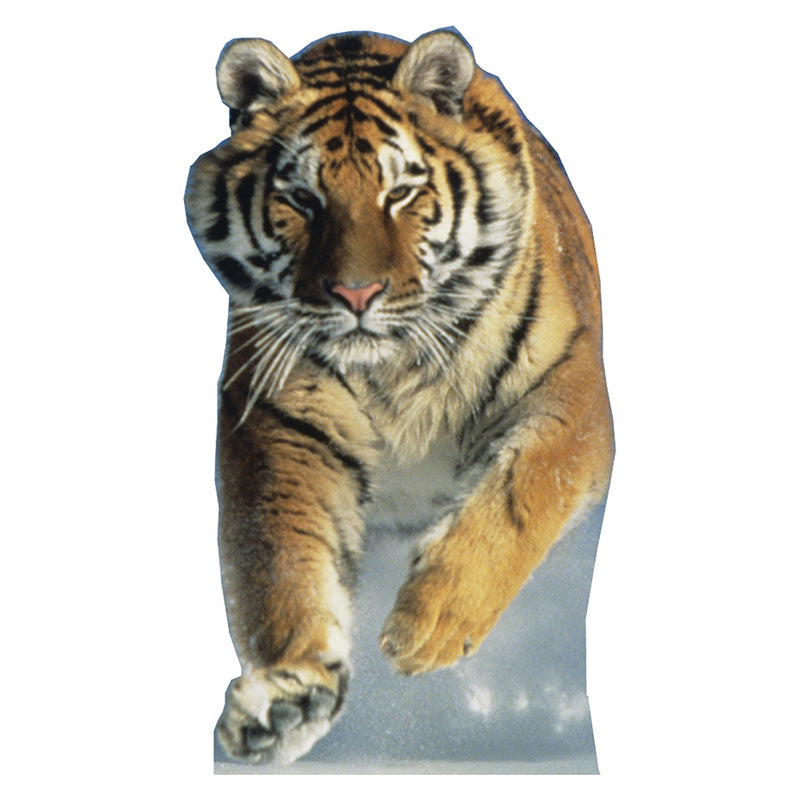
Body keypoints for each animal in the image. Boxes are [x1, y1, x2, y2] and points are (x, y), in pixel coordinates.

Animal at [185, 28, 614, 765]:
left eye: (402, 193)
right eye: (302, 198)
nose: (356, 295)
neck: (395, 371)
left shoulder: (571, 390)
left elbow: (525, 490)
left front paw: (431, 624)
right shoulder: (281, 422)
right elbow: (280, 561)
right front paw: (286, 697)